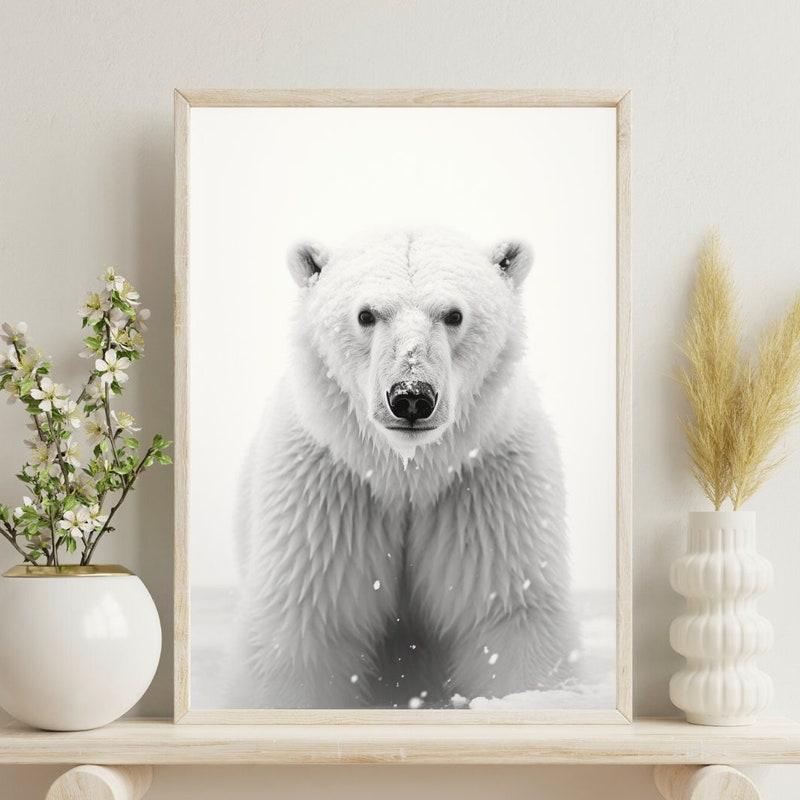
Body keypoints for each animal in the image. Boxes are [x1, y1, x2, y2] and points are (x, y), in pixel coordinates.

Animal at [225, 228, 578, 709]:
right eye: (366, 314)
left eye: (453, 314)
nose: (411, 396)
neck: (408, 470)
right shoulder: (327, 488)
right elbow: (309, 619)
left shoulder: (487, 483)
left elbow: (507, 611)